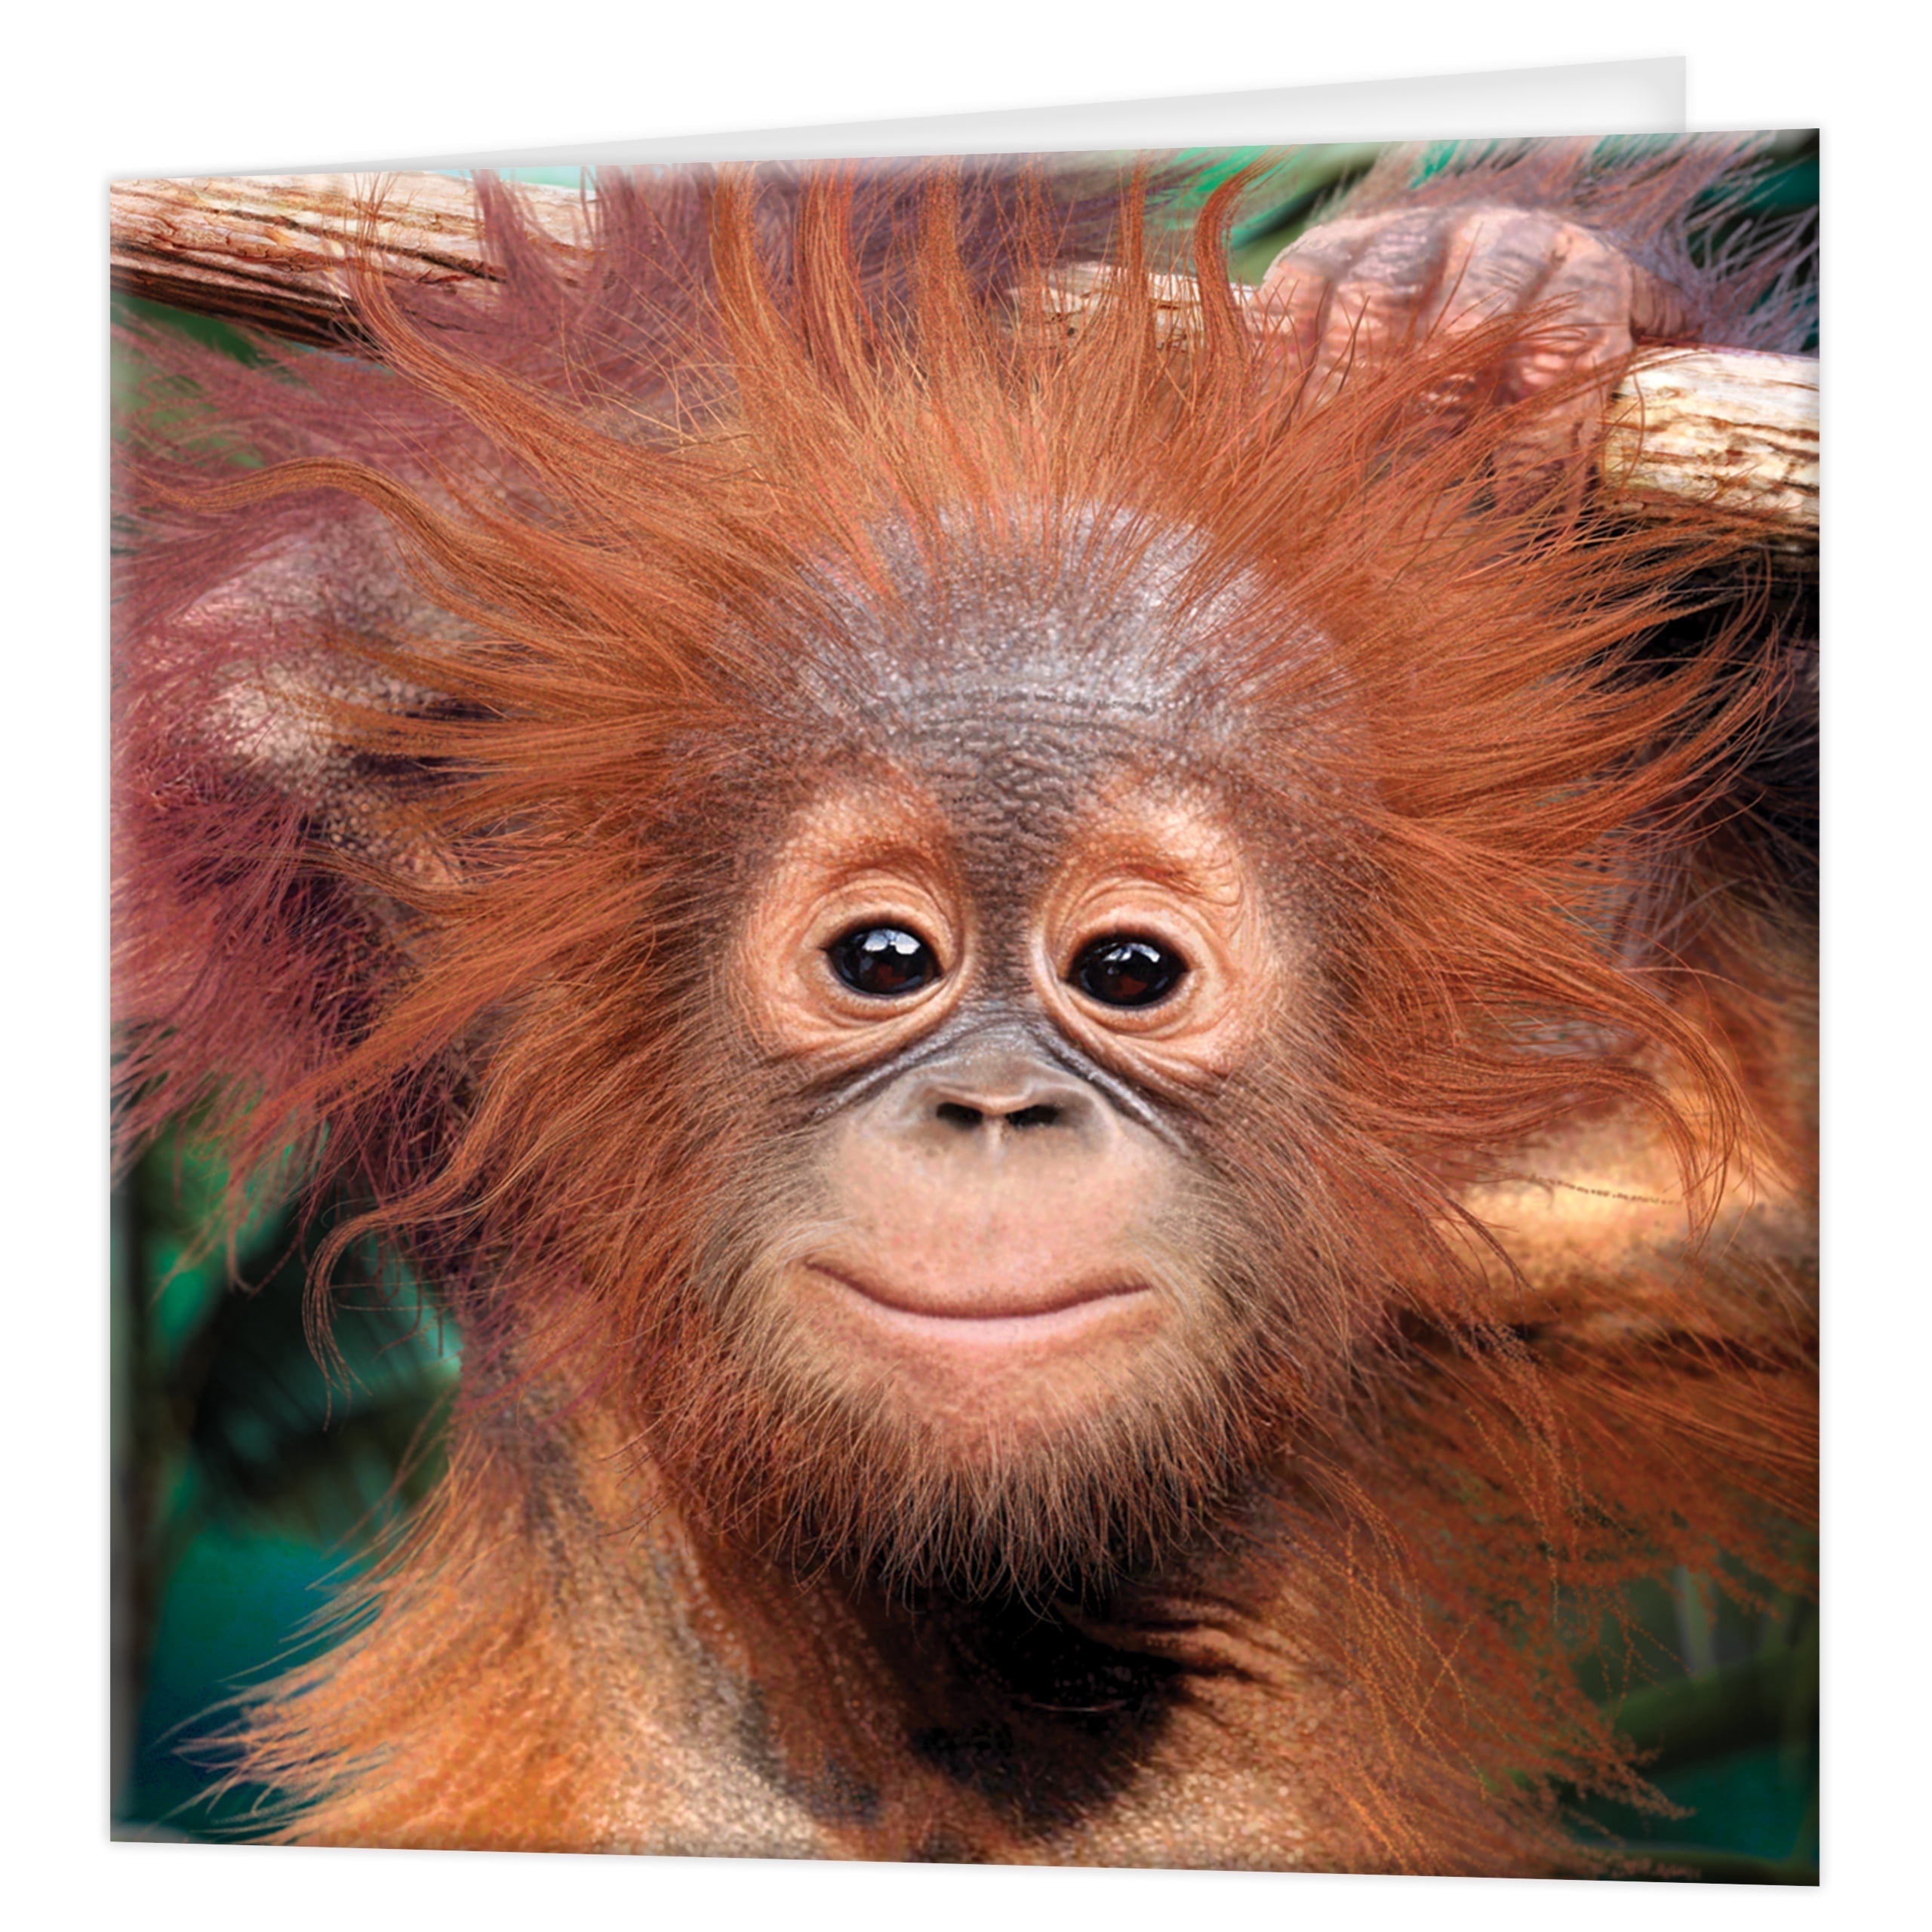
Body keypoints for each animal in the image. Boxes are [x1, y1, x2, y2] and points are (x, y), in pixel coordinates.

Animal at [112, 138, 1817, 1873]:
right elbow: (272, 686)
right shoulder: (510, 1114)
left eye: (1128, 972)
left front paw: (1498, 287)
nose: (995, 1106)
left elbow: (1771, 1219)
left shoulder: (1480, 1261)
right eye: (883, 961)